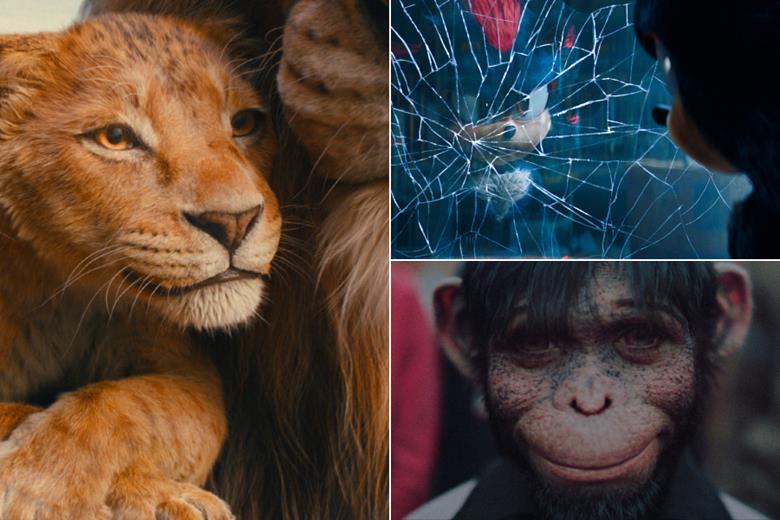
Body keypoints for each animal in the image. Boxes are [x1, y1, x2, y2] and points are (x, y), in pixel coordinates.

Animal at [0, 13, 281, 518]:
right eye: (115, 138)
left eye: (245, 122)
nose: (233, 222)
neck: (57, 291)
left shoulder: (188, 373)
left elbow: (128, 404)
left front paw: (41, 481)